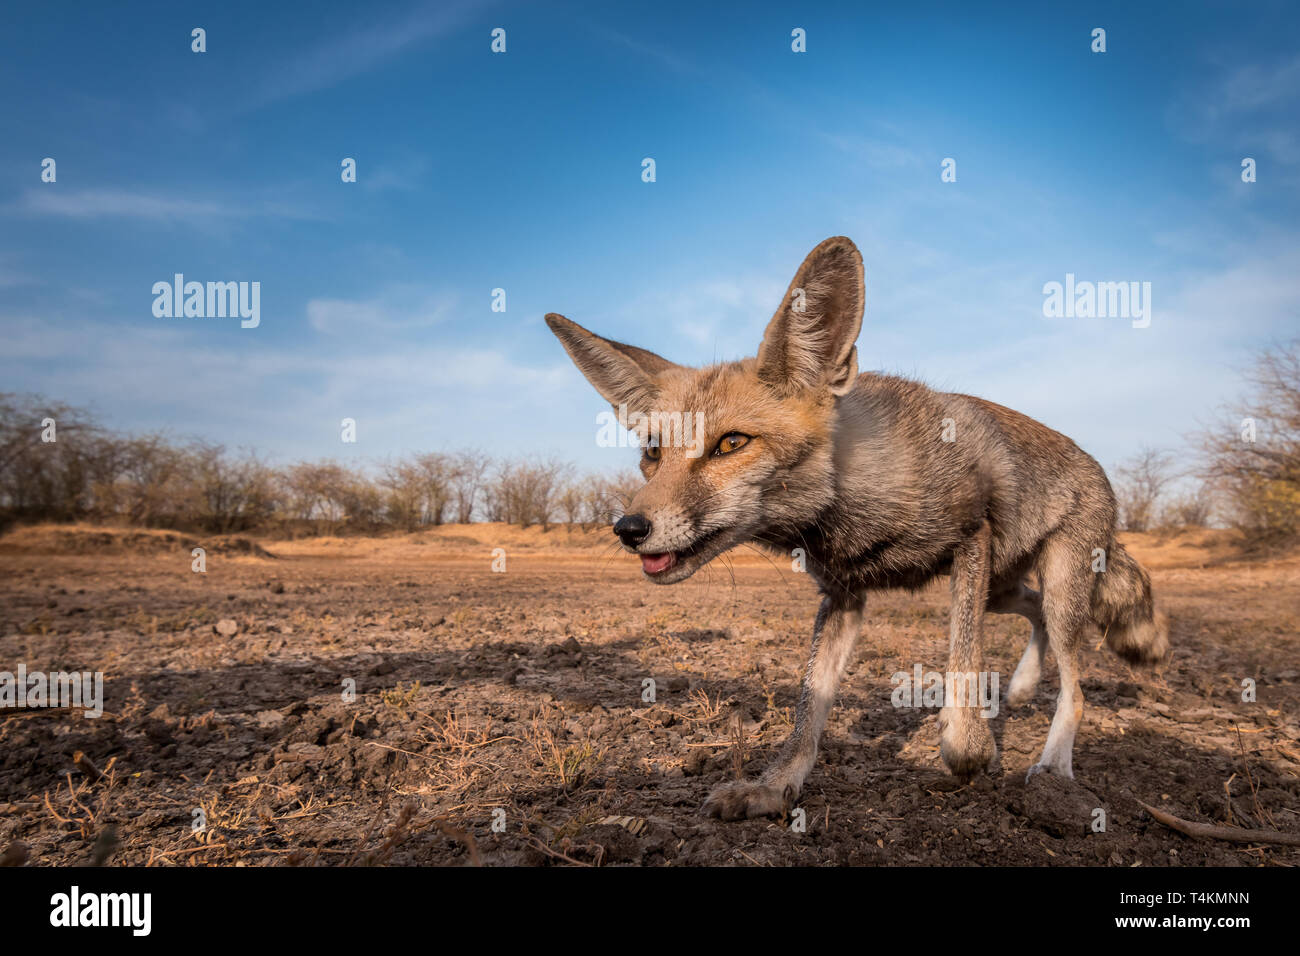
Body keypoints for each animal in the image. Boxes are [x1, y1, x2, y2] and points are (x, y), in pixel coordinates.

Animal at [545, 236, 1170, 821]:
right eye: (653, 453)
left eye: (730, 444)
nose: (628, 528)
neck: (849, 507)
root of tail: (1103, 479)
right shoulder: (843, 595)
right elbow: (808, 711)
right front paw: (774, 788)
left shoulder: (971, 536)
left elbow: (961, 672)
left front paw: (970, 751)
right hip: (1003, 586)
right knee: (1036, 614)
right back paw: (1020, 686)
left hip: (1047, 585)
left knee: (1076, 687)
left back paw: (1053, 766)